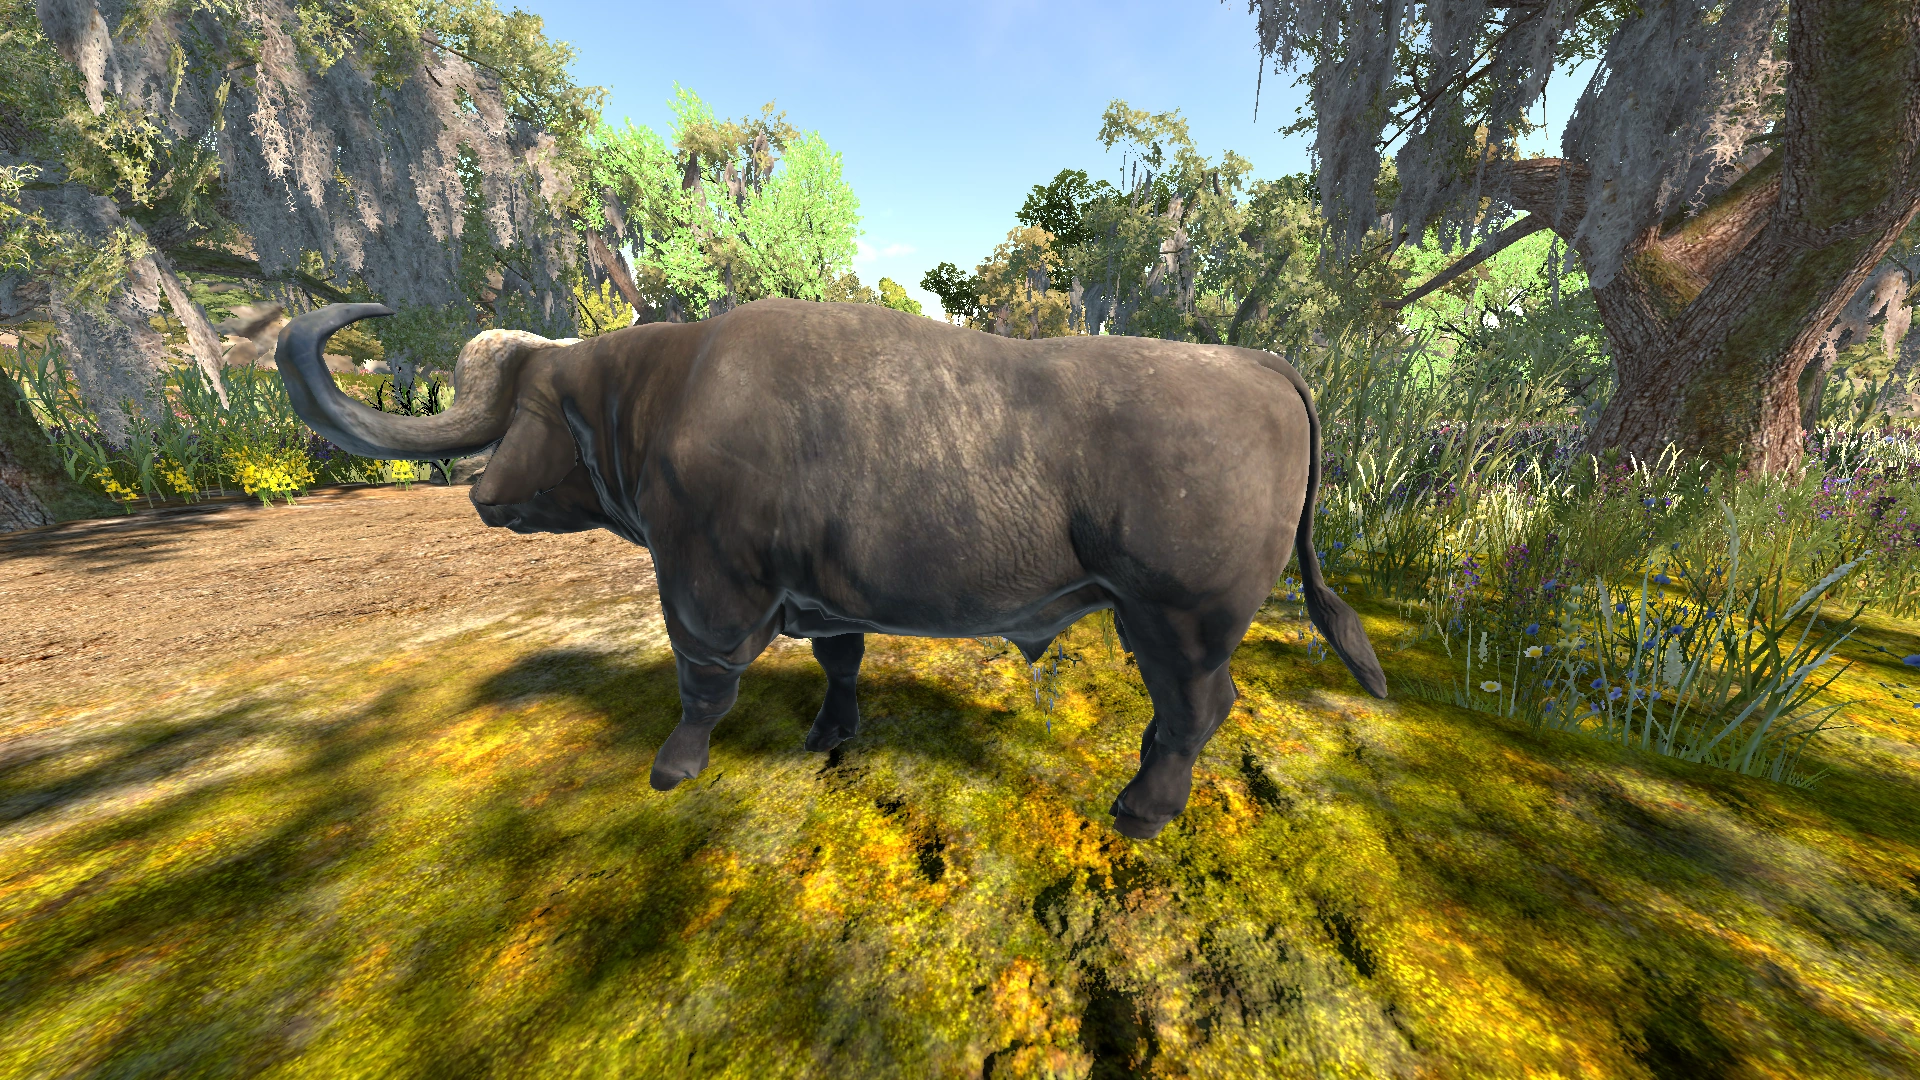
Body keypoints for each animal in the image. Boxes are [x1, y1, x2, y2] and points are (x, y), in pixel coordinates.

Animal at [277, 299, 1386, 839]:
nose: (482, 492)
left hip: (1175, 619)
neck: (663, 389)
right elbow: (840, 663)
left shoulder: (706, 587)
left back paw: (1143, 814)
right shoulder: (828, 592)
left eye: (538, 412)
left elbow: (703, 683)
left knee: (1194, 711)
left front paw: (673, 768)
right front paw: (829, 736)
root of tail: (1262, 365)